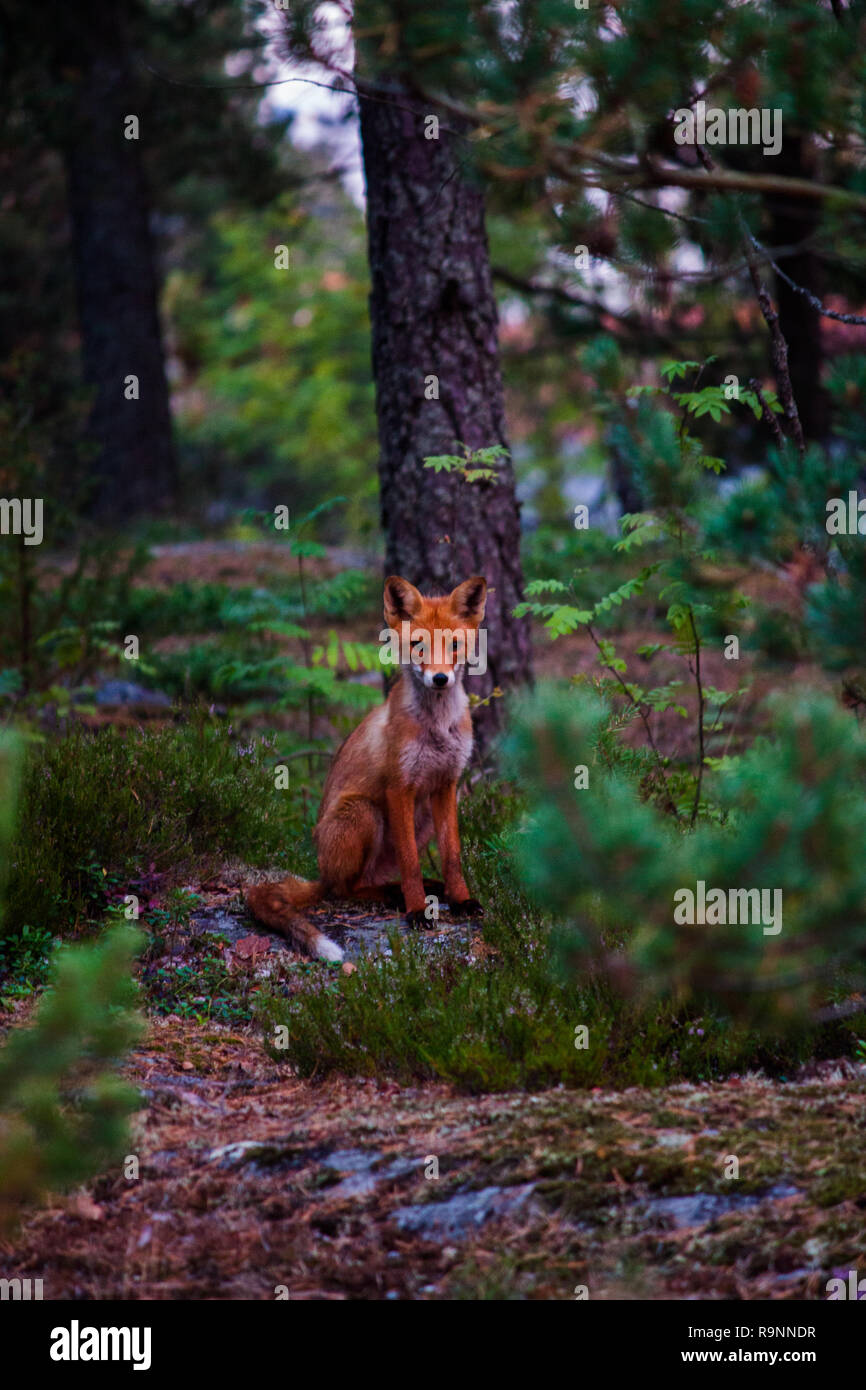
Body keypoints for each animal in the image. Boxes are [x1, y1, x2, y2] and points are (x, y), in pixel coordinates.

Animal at [244, 573, 488, 962]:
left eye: (454, 645)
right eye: (418, 645)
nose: (440, 679)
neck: (436, 728)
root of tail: (321, 870)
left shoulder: (446, 785)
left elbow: (452, 856)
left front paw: (462, 900)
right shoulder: (399, 787)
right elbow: (410, 862)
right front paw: (417, 912)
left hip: (421, 819)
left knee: (371, 879)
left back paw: (422, 890)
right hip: (364, 812)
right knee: (344, 889)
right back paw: (395, 896)